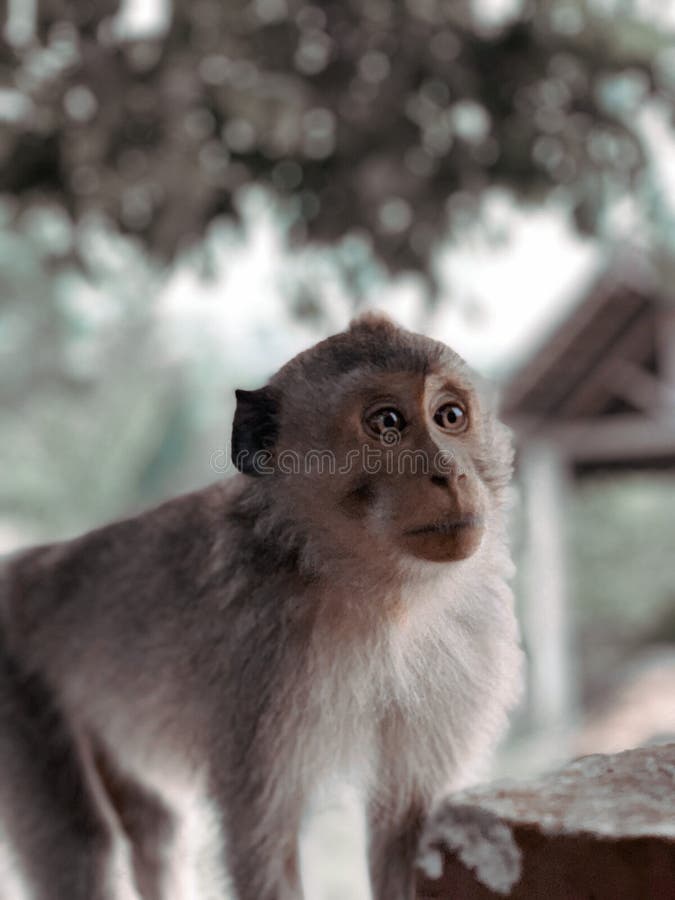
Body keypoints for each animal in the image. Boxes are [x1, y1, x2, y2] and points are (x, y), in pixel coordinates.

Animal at [0, 313, 523, 900]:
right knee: (79, 846)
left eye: (450, 416)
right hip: (19, 691)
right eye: (387, 422)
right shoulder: (259, 672)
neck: (367, 587)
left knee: (156, 828)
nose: (450, 474)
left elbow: (401, 830)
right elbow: (261, 840)